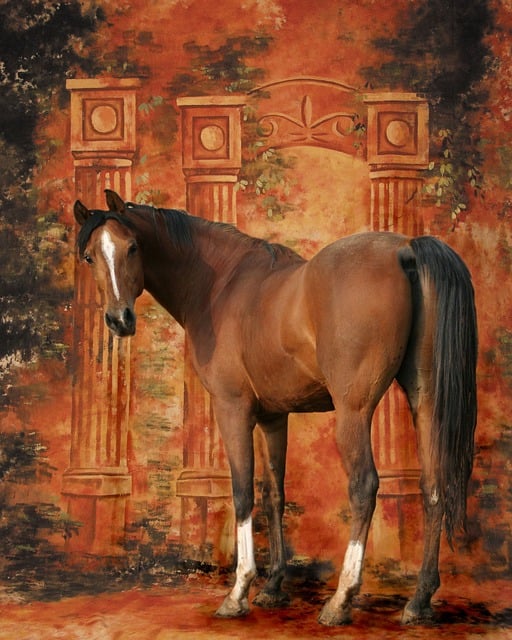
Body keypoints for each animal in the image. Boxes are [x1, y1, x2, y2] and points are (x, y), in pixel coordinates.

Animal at [73, 190, 477, 626]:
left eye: (132, 247)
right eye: (90, 257)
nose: (120, 319)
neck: (219, 286)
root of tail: (405, 249)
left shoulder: (232, 409)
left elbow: (242, 493)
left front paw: (239, 591)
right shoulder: (273, 417)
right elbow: (274, 494)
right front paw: (273, 586)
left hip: (353, 411)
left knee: (364, 486)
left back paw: (341, 600)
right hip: (426, 401)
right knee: (433, 486)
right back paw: (419, 601)